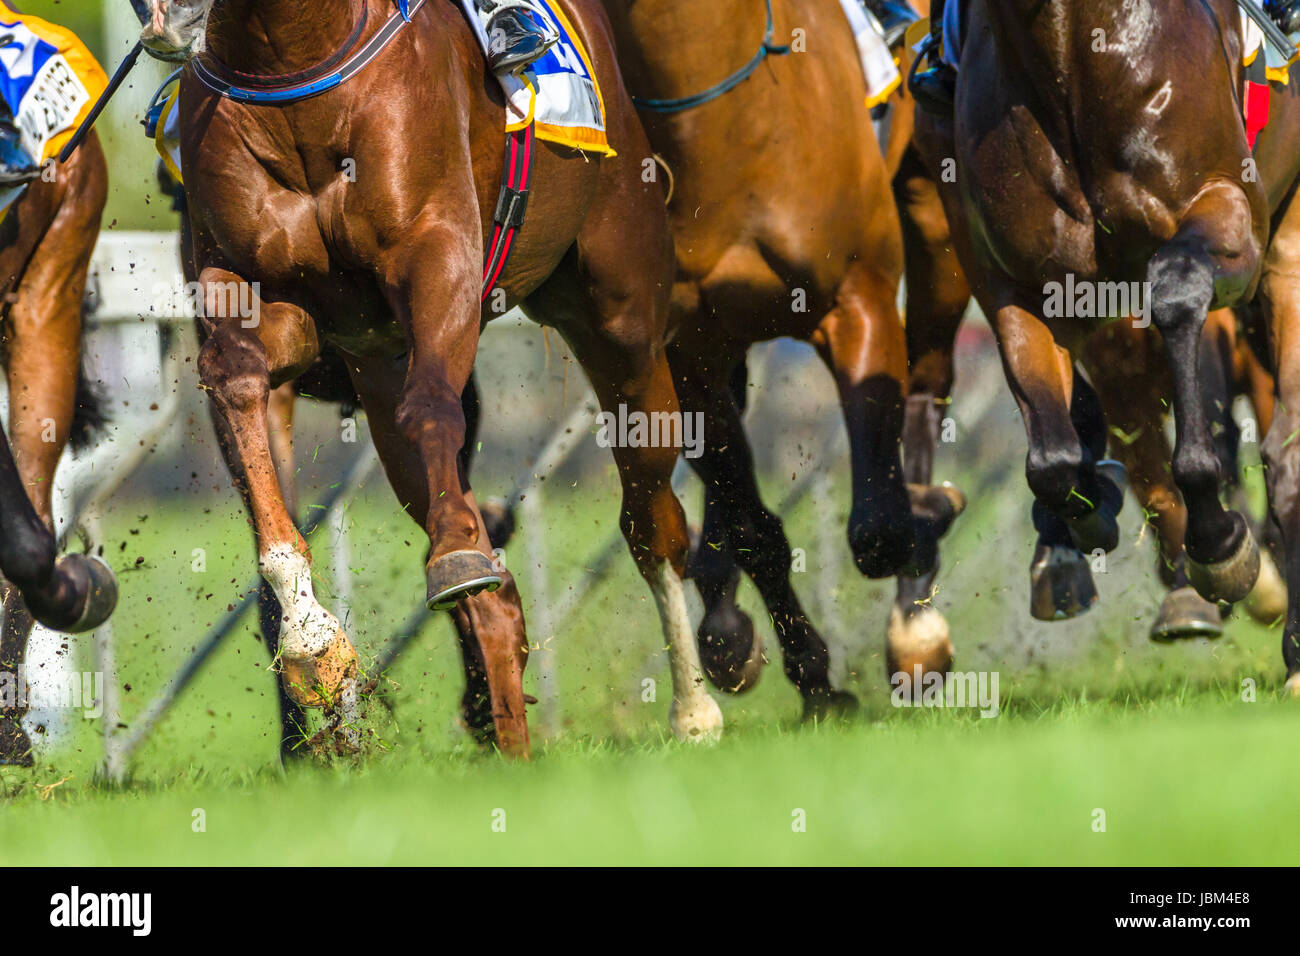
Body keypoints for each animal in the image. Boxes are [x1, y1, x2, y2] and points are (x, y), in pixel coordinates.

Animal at [139, 0, 722, 756]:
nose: (171, 19)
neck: (290, 64)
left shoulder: (439, 252)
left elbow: (433, 404)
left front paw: (455, 555)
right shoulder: (265, 293)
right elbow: (236, 378)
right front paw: (308, 633)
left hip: (621, 312)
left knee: (652, 517)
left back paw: (693, 707)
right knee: (500, 601)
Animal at [601, 0, 965, 711]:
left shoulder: (858, 297)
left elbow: (879, 528)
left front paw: (927, 520)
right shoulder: (684, 346)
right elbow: (754, 526)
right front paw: (812, 675)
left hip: (936, 213)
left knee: (928, 379)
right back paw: (722, 612)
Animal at [912, 0, 1300, 687]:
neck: (1070, 53)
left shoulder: (1229, 211)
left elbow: (1178, 292)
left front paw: (1220, 544)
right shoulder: (1013, 278)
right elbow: (1052, 457)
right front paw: (1089, 509)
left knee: (1287, 454)